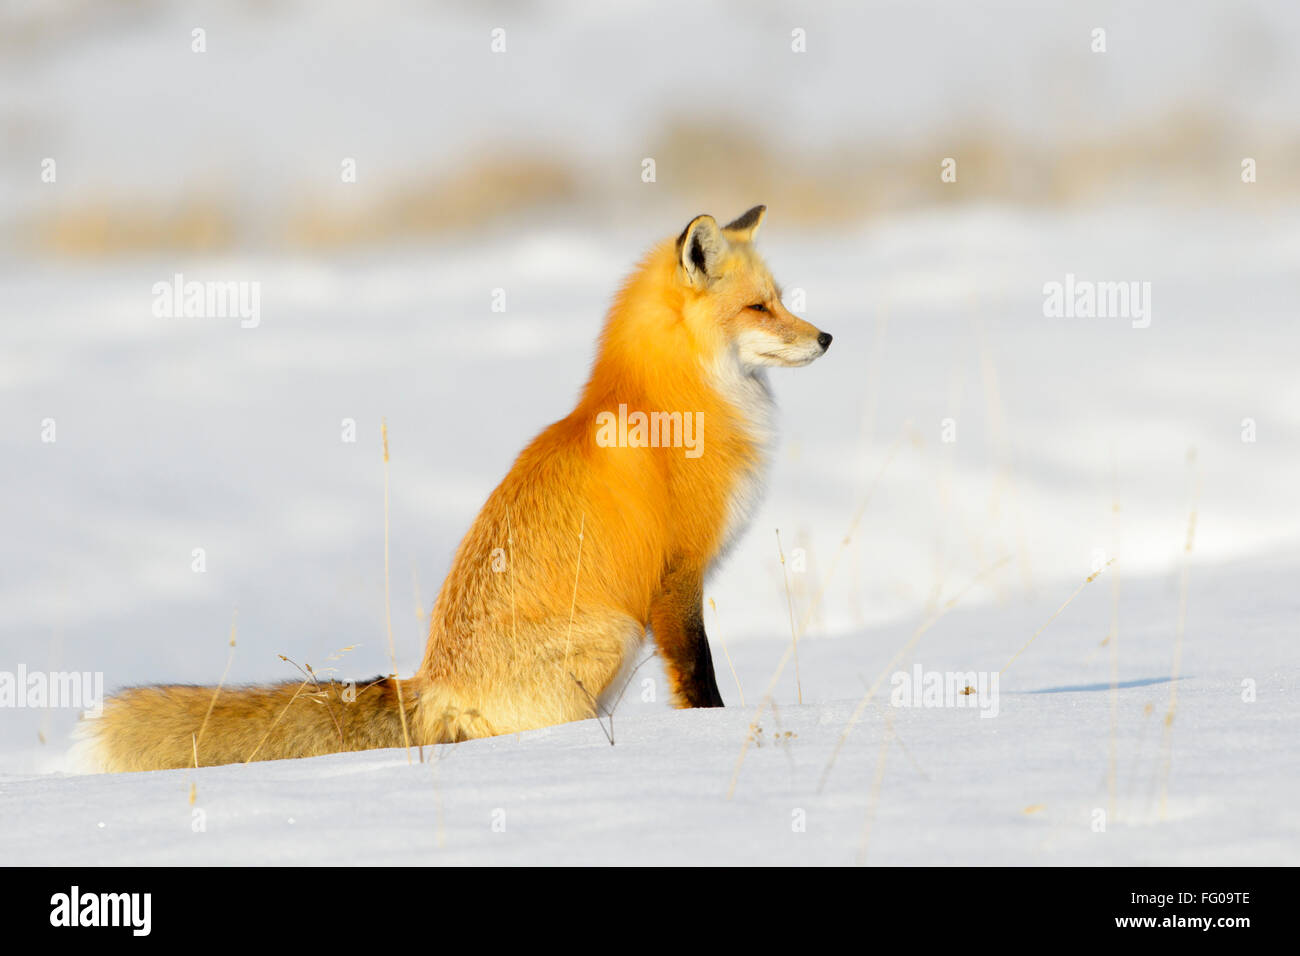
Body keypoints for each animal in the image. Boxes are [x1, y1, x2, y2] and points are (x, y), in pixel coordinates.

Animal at [84, 205, 832, 772]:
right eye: (760, 307)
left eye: (782, 299)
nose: (826, 336)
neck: (673, 401)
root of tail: (431, 681)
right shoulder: (676, 578)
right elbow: (700, 682)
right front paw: (709, 733)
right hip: (612, 633)